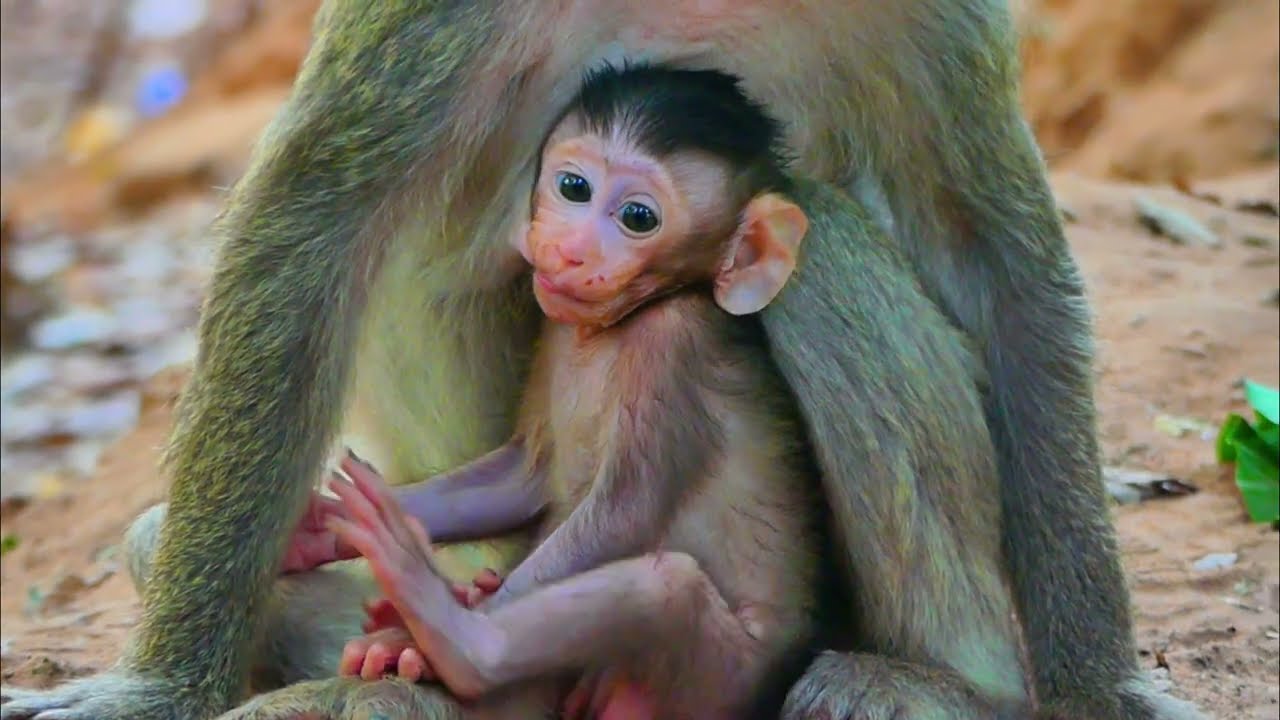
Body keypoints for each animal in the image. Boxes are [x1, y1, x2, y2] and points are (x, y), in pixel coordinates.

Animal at [0, 3, 1206, 720]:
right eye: (569, 188)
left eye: (635, 214)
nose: (578, 250)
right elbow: (312, 226)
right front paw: (160, 685)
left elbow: (995, 259)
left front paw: (1100, 685)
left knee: (819, 242)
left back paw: (931, 678)